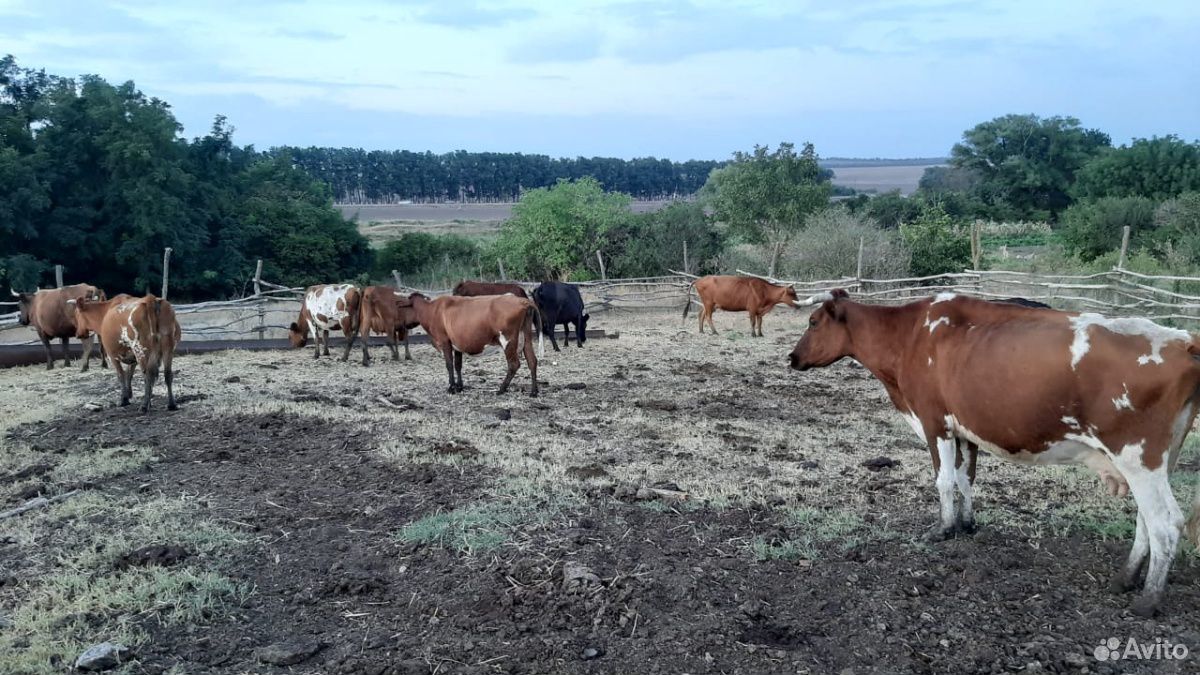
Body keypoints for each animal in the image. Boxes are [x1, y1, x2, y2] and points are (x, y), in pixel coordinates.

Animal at [408, 293, 542, 396]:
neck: (432, 310)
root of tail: (522, 300)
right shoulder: (457, 345)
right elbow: (458, 365)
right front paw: (459, 387)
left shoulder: (444, 341)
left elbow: (449, 365)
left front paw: (451, 388)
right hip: (526, 337)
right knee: (532, 361)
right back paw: (534, 392)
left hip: (508, 340)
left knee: (514, 364)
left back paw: (501, 389)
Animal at [789, 289, 1200, 616]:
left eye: (812, 321)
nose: (791, 358)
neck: (912, 335)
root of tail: (1182, 339)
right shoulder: (965, 429)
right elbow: (965, 478)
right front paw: (967, 523)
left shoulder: (934, 421)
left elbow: (943, 480)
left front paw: (943, 528)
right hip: (1157, 459)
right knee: (1146, 519)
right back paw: (1125, 579)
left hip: (1137, 457)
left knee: (1165, 523)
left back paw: (1147, 600)